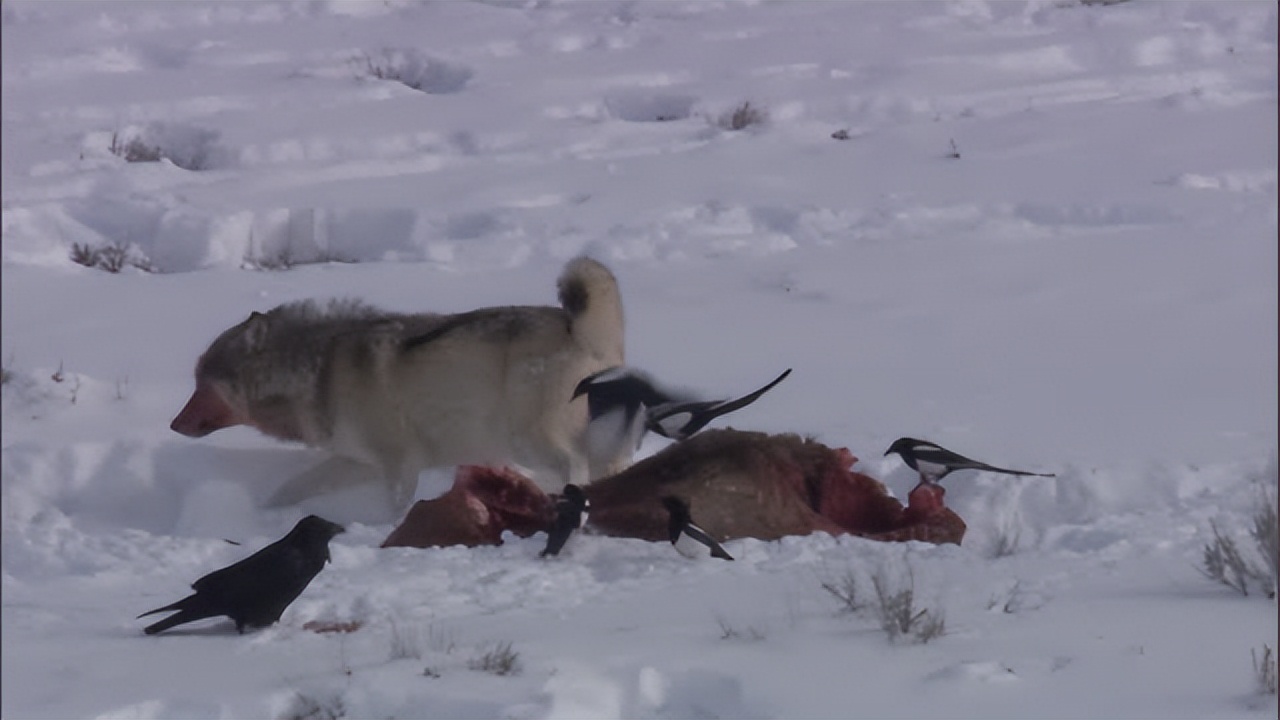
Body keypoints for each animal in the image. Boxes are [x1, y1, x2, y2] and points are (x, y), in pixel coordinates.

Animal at [170, 257, 628, 509]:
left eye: (202, 383)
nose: (172, 425)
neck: (318, 372)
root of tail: (580, 330)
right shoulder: (355, 462)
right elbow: (291, 488)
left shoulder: (398, 465)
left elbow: (396, 508)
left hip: (526, 440)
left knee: (574, 467)